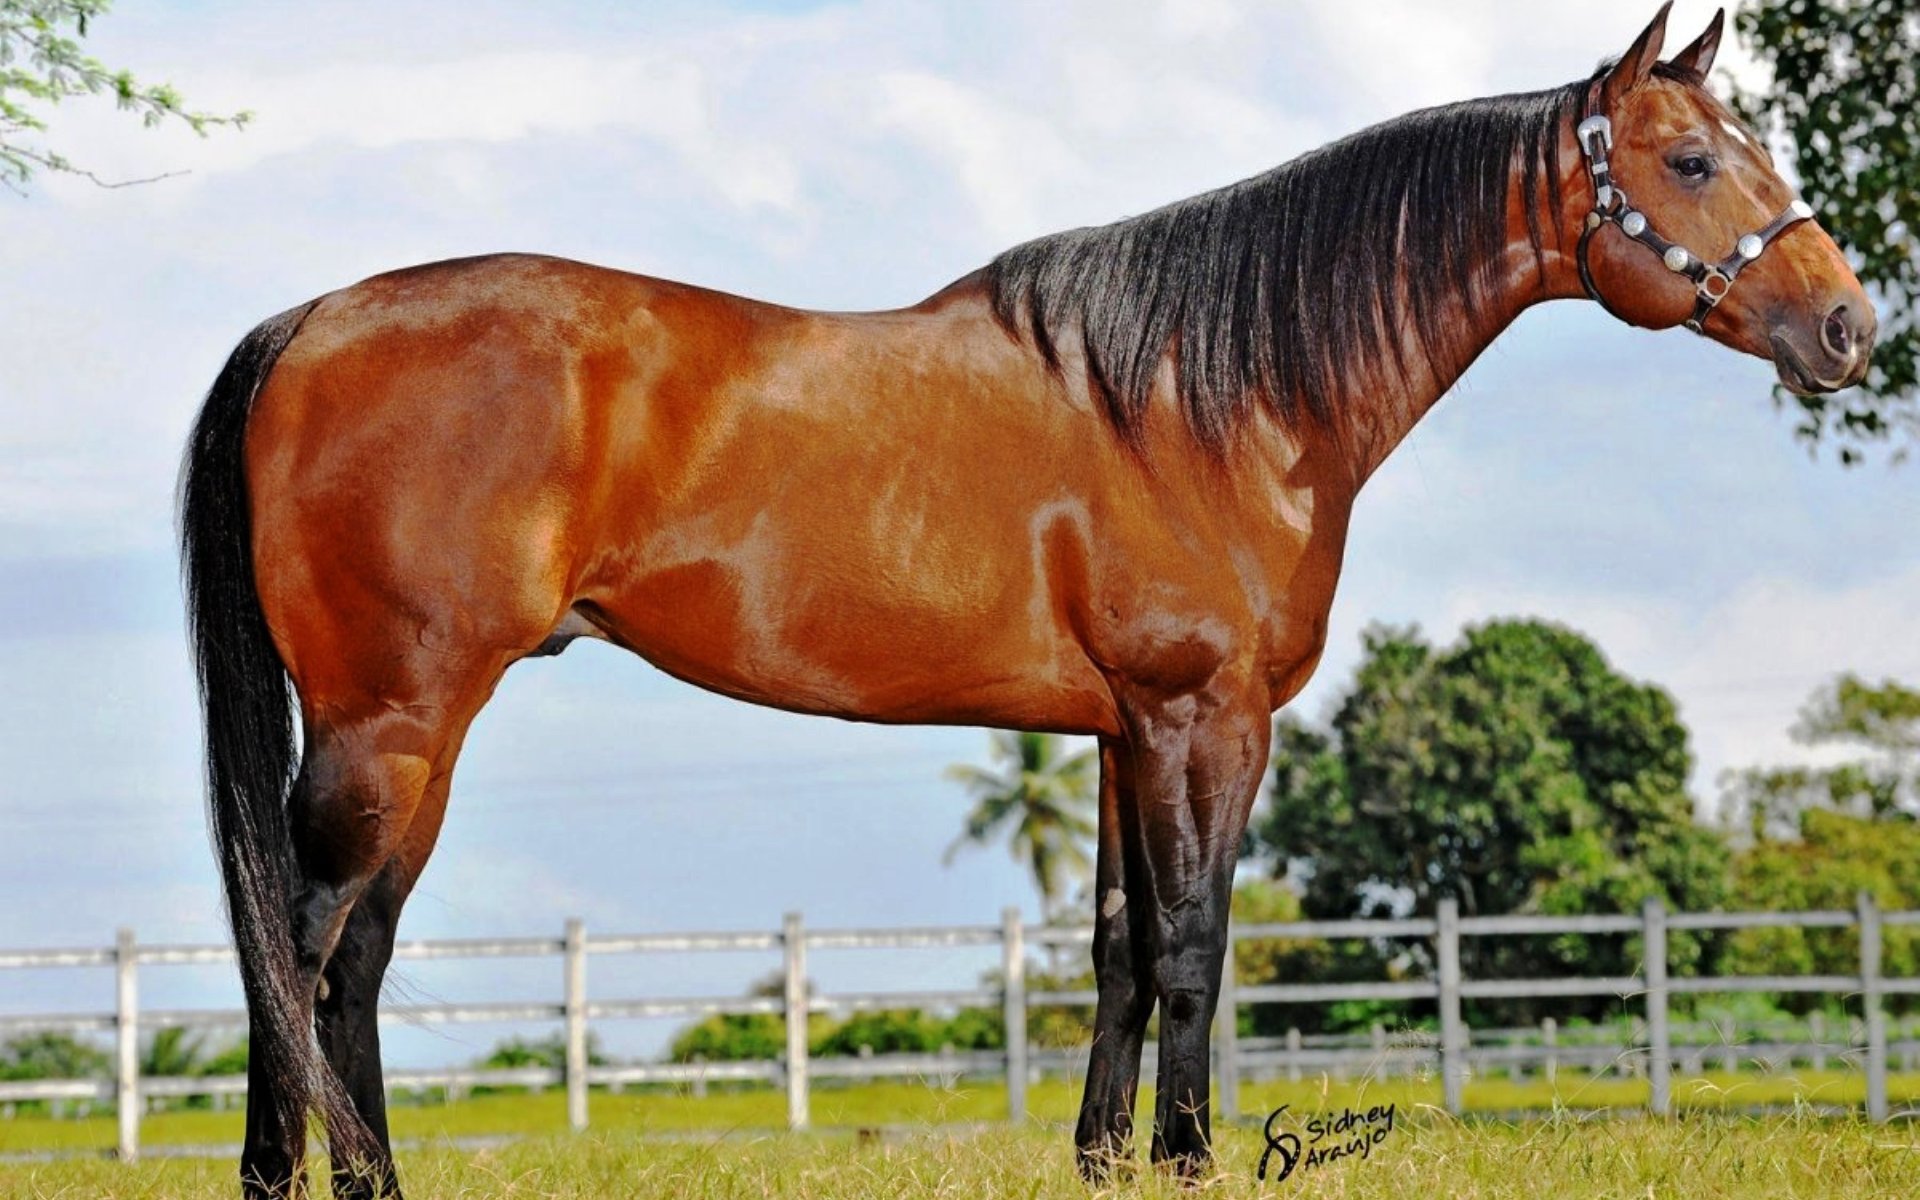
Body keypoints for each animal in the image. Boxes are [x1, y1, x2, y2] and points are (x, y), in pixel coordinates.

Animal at [180, 4, 1872, 1195]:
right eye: (1695, 162)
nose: (1850, 325)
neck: (1207, 396)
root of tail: (308, 320)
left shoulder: (1122, 735)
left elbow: (1120, 955)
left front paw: (1109, 1164)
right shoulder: (1204, 721)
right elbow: (1195, 948)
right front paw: (1189, 1163)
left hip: (416, 741)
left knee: (345, 967)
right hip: (394, 724)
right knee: (302, 954)